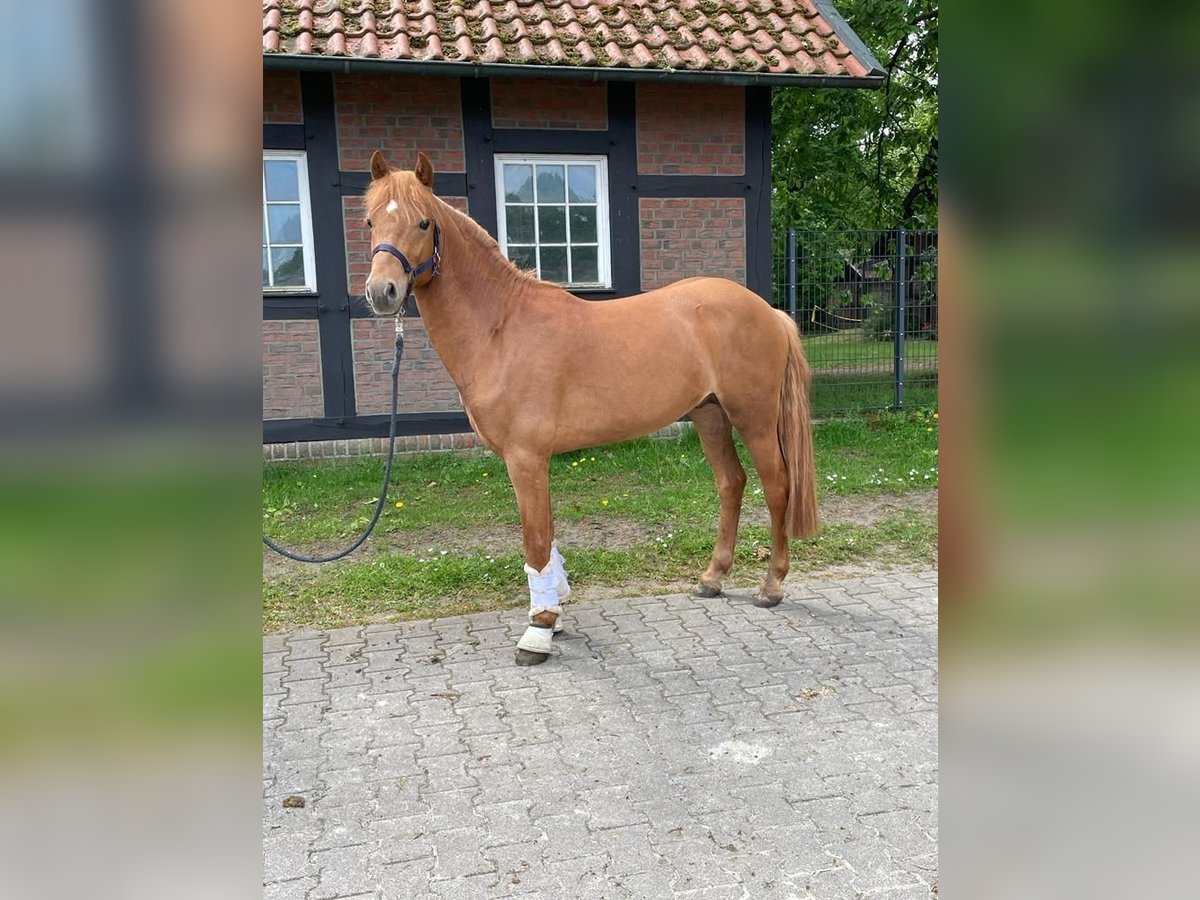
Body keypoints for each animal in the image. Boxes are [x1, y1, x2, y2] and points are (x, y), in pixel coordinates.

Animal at [362, 151, 818, 666]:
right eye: (371, 220)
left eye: (423, 222)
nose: (382, 292)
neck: (501, 328)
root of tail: (770, 312)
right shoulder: (531, 461)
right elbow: (546, 530)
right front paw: (554, 610)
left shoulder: (526, 458)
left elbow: (535, 539)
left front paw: (539, 629)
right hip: (710, 413)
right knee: (731, 483)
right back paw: (712, 578)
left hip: (753, 418)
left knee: (777, 486)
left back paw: (771, 586)